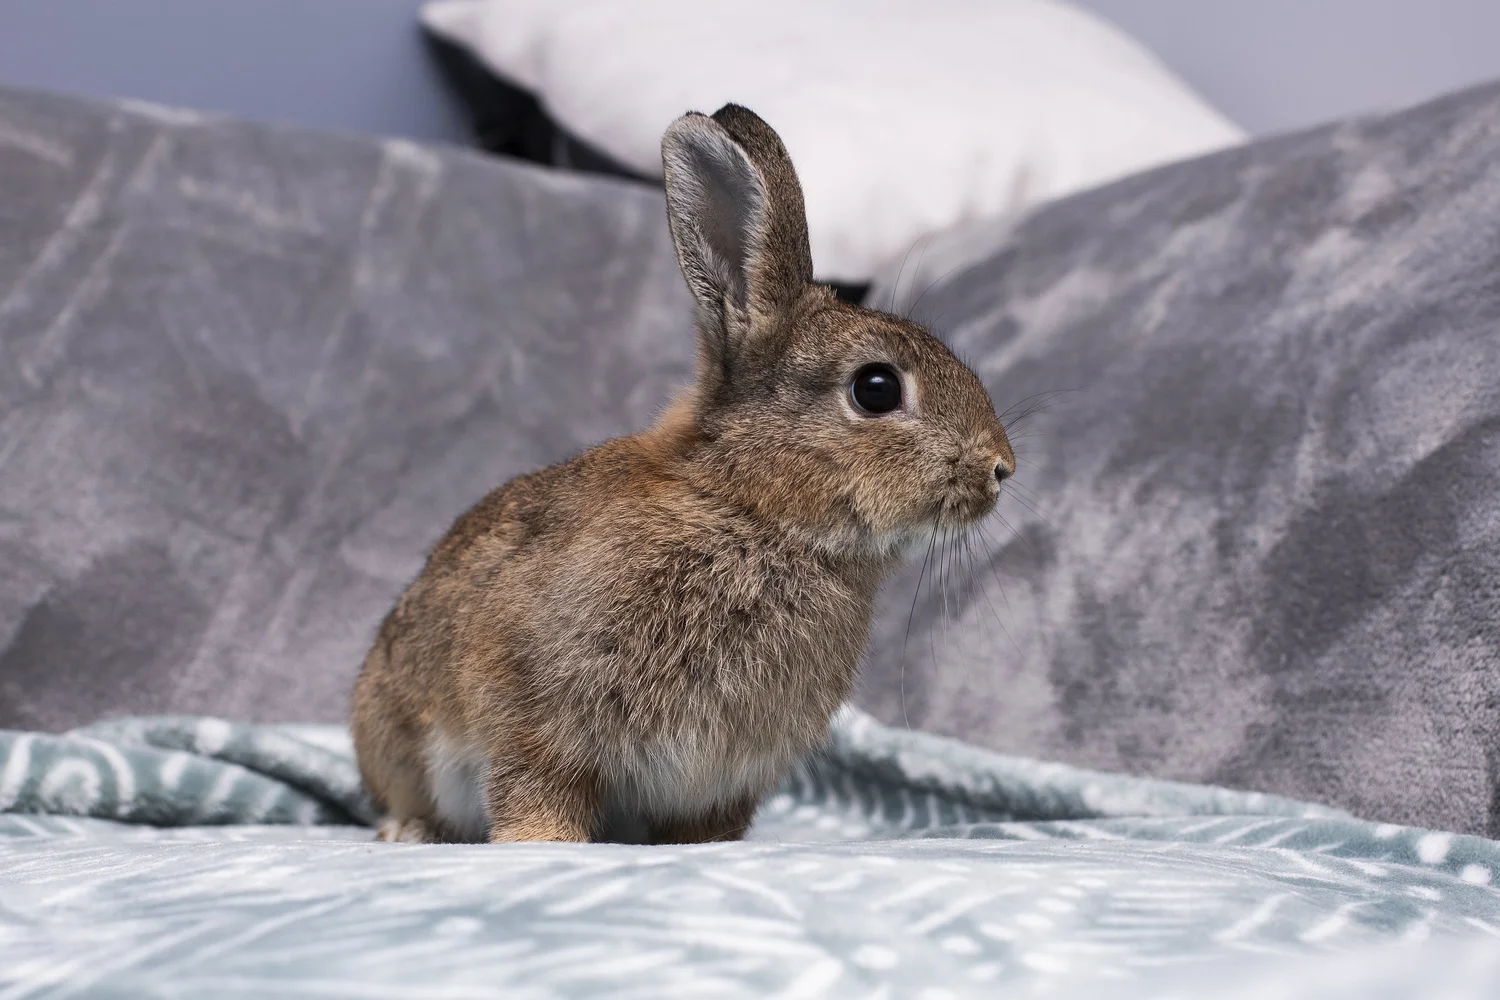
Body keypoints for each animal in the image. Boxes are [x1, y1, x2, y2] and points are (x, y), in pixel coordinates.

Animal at [350, 103, 1016, 845]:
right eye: (876, 389)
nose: (1001, 468)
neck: (750, 508)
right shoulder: (537, 712)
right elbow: (535, 786)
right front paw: (542, 842)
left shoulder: (727, 776)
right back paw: (410, 831)